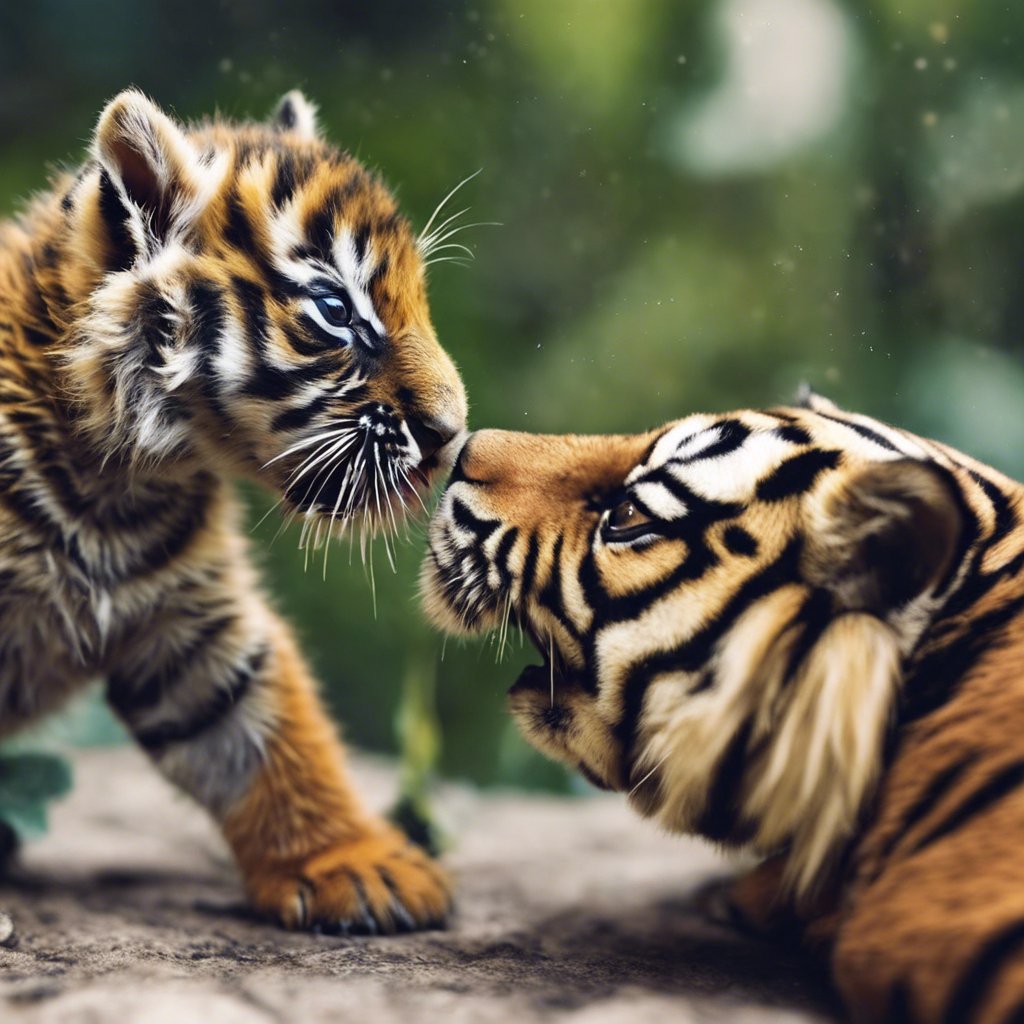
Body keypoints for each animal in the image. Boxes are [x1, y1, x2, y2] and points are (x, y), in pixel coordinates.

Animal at [0, 88, 467, 934]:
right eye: (335, 309)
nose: (454, 434)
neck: (117, 478)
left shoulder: (192, 623)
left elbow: (270, 731)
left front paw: (359, 863)